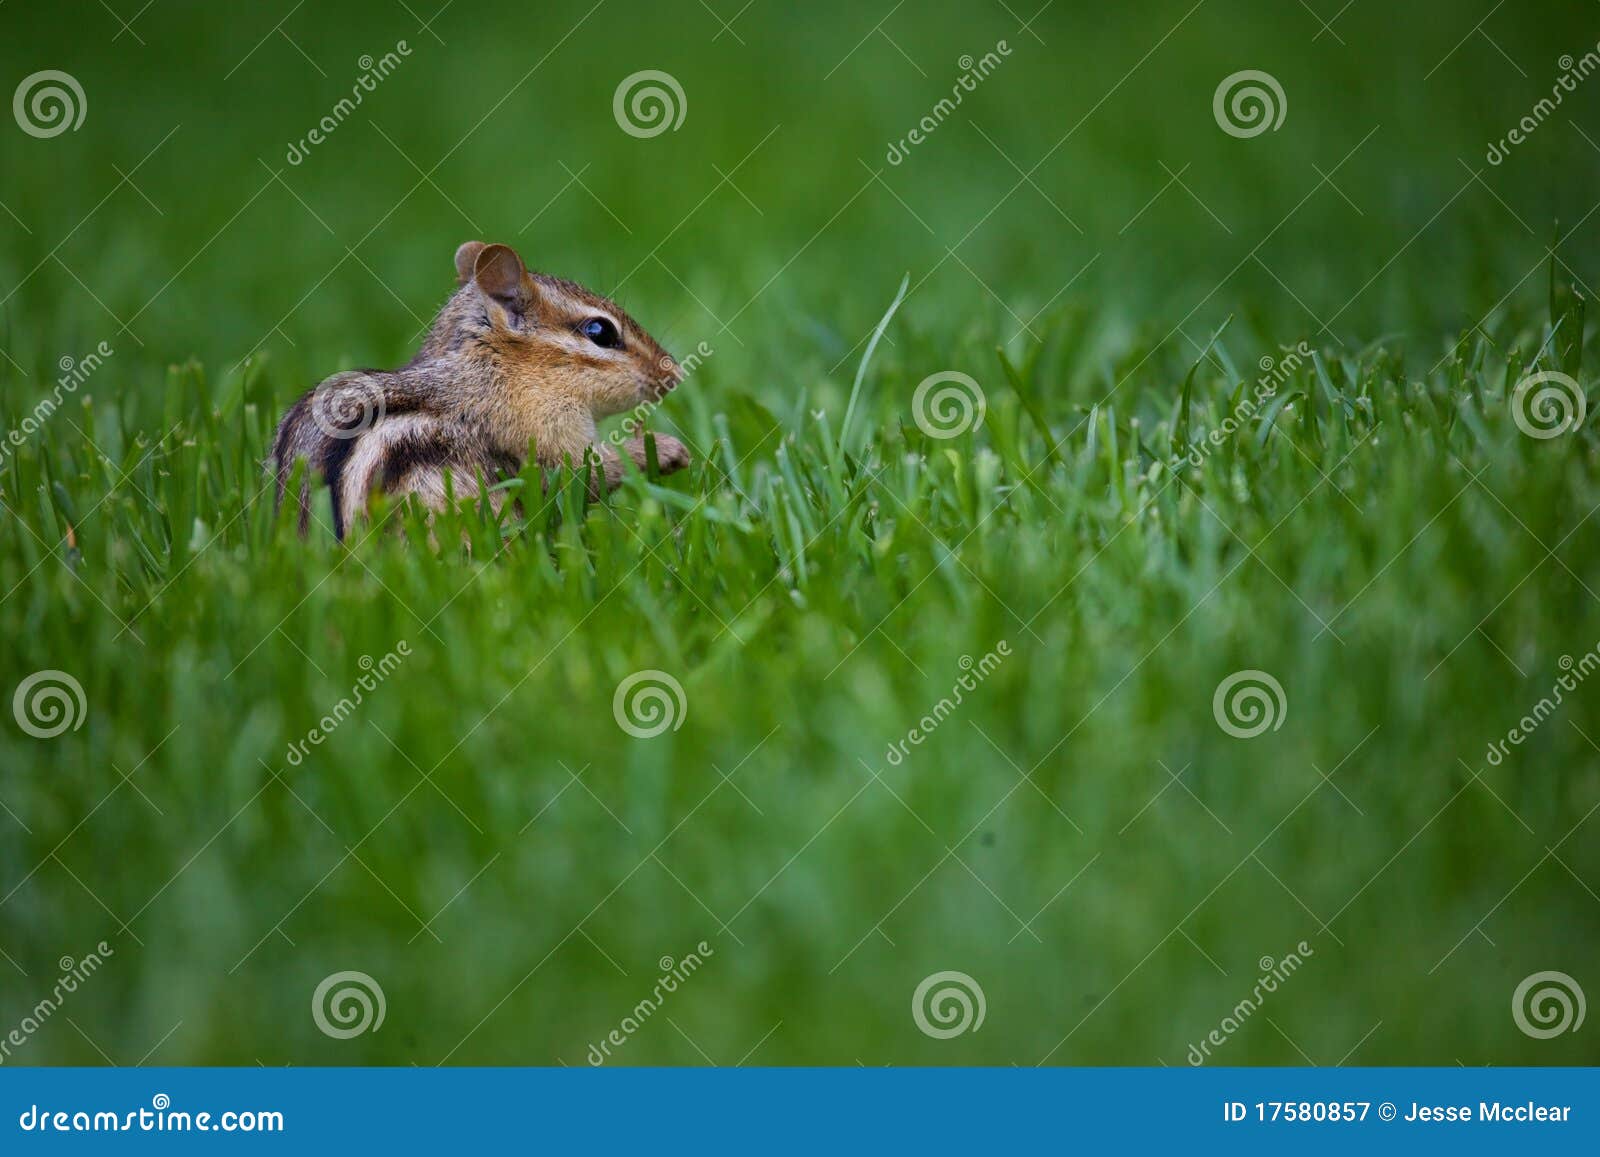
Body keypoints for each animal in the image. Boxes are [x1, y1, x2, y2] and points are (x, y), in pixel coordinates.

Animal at [270, 240, 690, 540]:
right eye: (600, 331)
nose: (673, 373)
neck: (499, 370)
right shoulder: (543, 434)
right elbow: (581, 474)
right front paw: (664, 448)